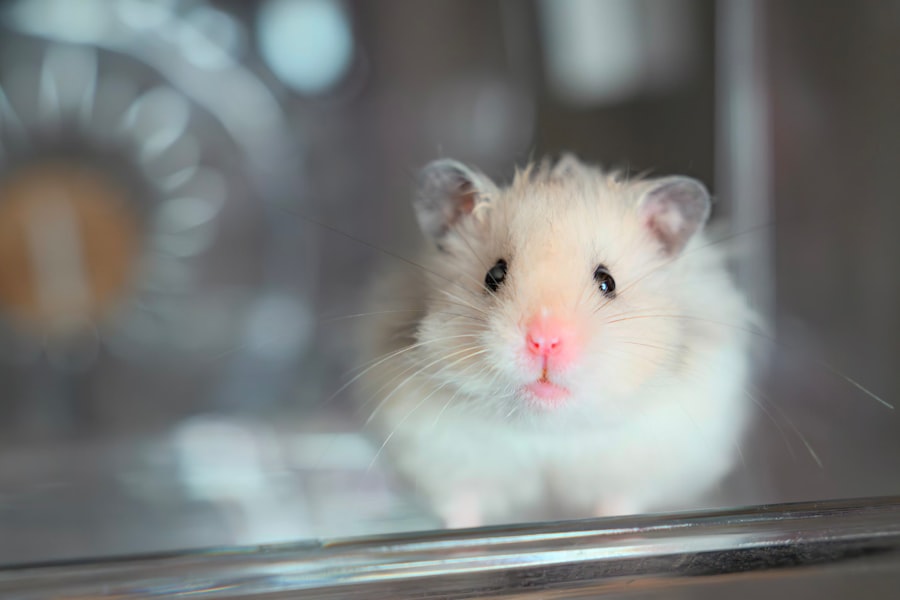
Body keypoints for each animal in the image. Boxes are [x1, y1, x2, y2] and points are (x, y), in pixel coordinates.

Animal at [357, 155, 754, 528]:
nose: (544, 342)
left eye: (607, 281)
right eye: (494, 275)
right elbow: (461, 506)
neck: (547, 428)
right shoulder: (436, 456)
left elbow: (619, 501)